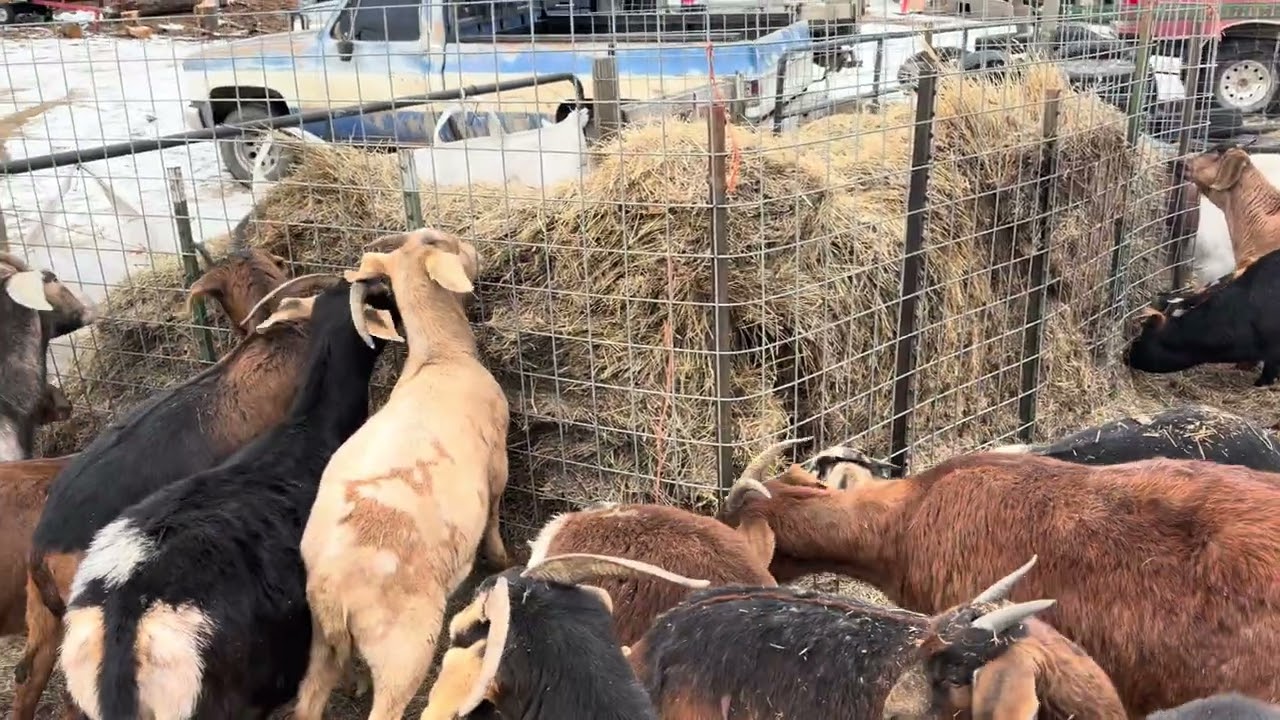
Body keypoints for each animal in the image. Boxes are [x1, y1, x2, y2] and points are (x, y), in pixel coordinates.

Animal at [293, 229, 510, 720]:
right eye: (439, 240)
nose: (476, 251)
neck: (440, 356)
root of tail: (330, 588)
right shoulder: (497, 461)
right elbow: (493, 516)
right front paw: (503, 559)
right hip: (403, 645)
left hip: (319, 642)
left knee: (307, 701)